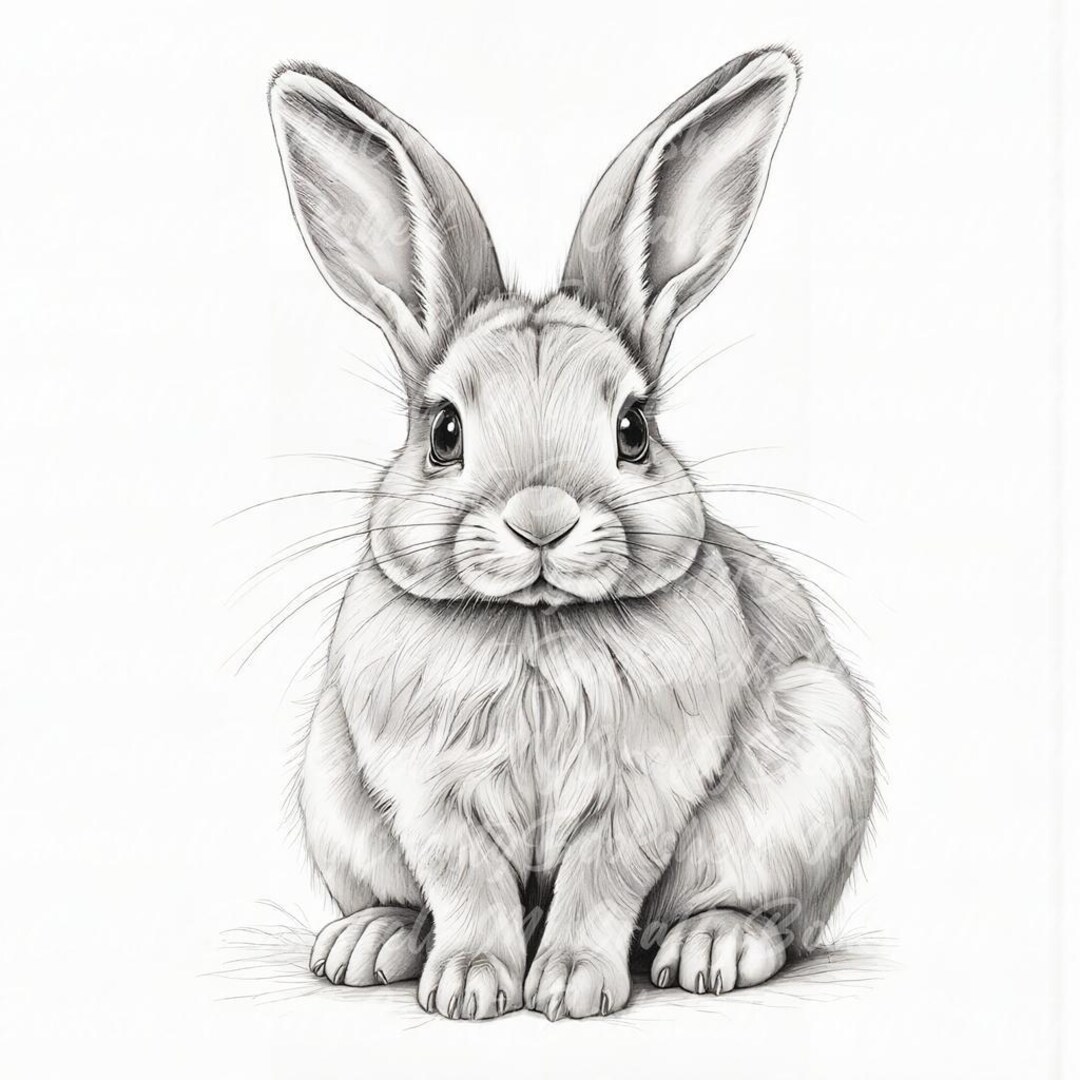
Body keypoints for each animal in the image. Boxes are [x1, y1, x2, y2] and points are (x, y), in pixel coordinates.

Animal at [267, 46, 875, 1021]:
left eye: (633, 429)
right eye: (444, 430)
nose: (542, 518)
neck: (537, 624)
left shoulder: (642, 794)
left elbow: (601, 881)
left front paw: (570, 989)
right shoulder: (428, 795)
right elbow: (465, 883)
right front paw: (472, 988)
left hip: (817, 766)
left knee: (779, 918)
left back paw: (713, 946)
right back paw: (370, 942)